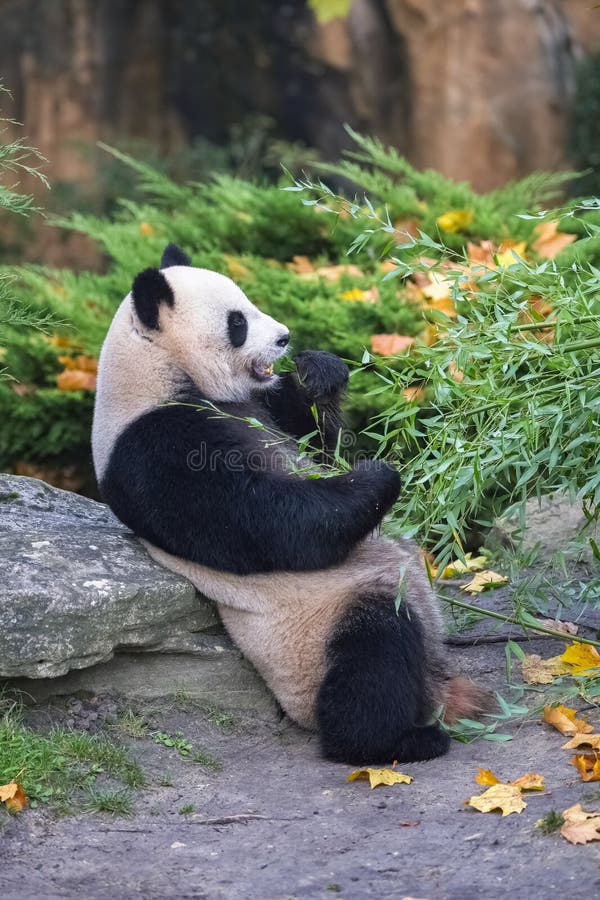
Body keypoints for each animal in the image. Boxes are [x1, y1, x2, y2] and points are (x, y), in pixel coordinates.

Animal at [92, 242, 487, 765]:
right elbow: (274, 522)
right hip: (317, 632)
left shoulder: (267, 406)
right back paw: (394, 740)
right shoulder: (154, 446)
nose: (284, 338)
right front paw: (379, 473)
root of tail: (439, 690)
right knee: (374, 652)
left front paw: (320, 372)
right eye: (238, 321)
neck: (159, 371)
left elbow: (319, 441)